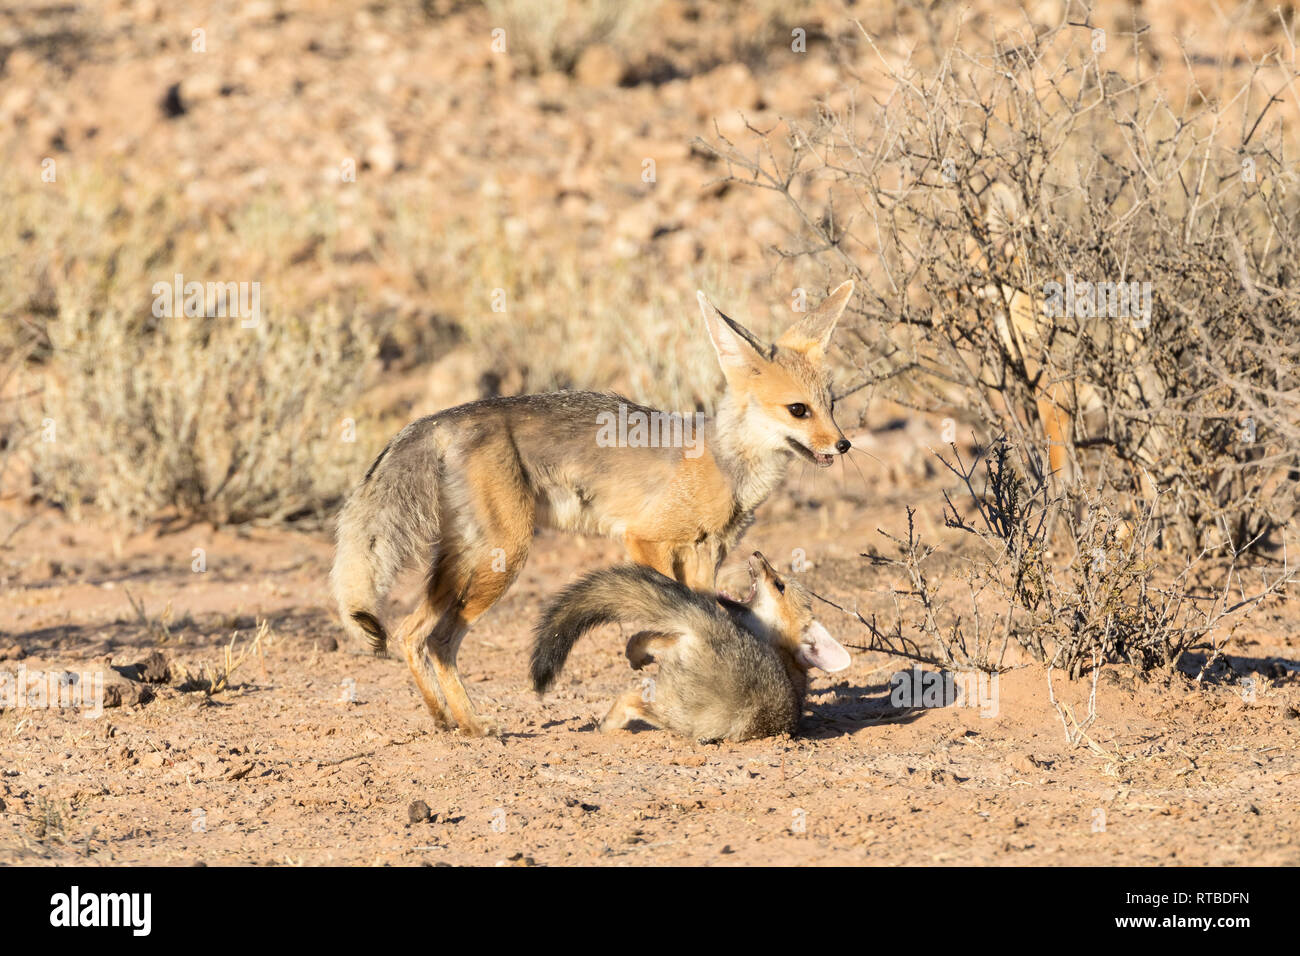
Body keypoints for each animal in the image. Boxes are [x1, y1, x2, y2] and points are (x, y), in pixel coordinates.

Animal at [530, 551, 851, 742]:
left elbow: (653, 638)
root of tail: (711, 625)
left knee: (633, 695)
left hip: (680, 713)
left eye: (779, 585)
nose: (758, 554)